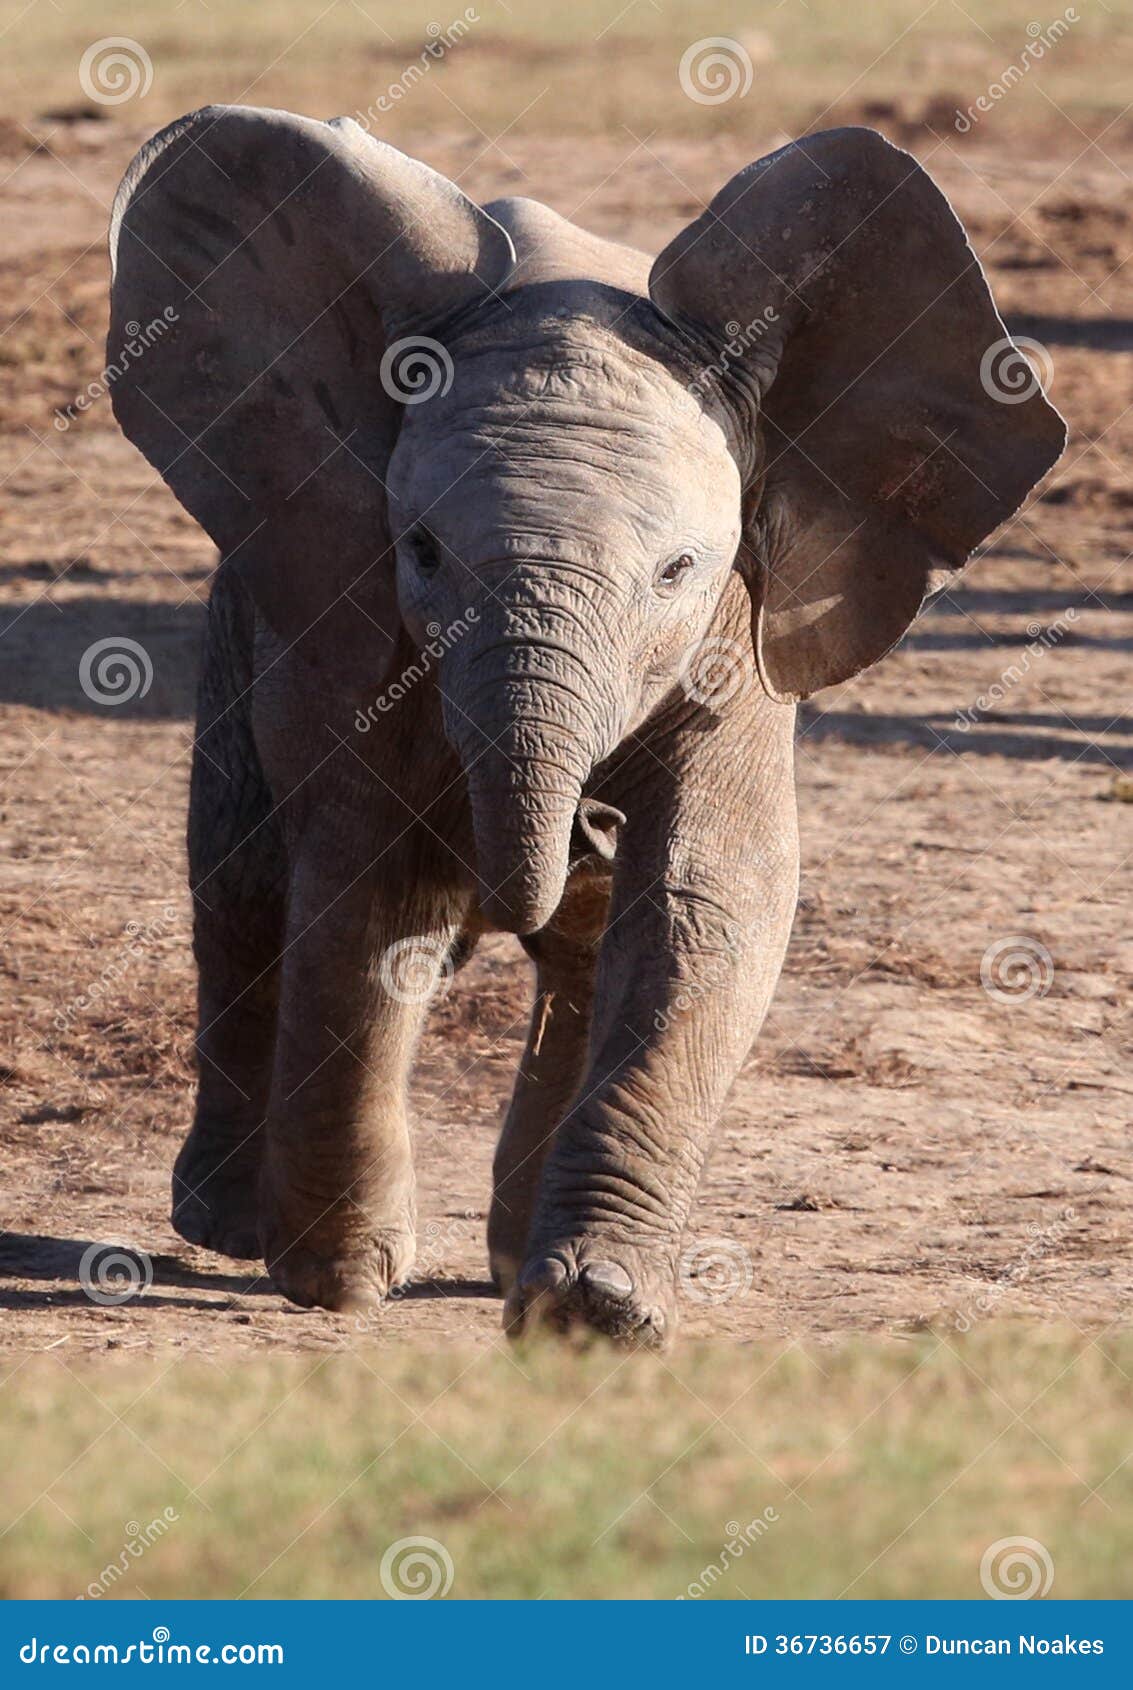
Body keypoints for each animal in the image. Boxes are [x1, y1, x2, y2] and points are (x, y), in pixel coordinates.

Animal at [107, 106, 1065, 1344]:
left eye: (675, 570)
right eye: (421, 550)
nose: (586, 825)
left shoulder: (738, 619)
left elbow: (704, 897)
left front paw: (591, 1311)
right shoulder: (356, 610)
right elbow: (371, 883)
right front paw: (336, 1277)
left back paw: (506, 1249)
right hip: (247, 591)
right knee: (242, 871)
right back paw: (227, 1223)